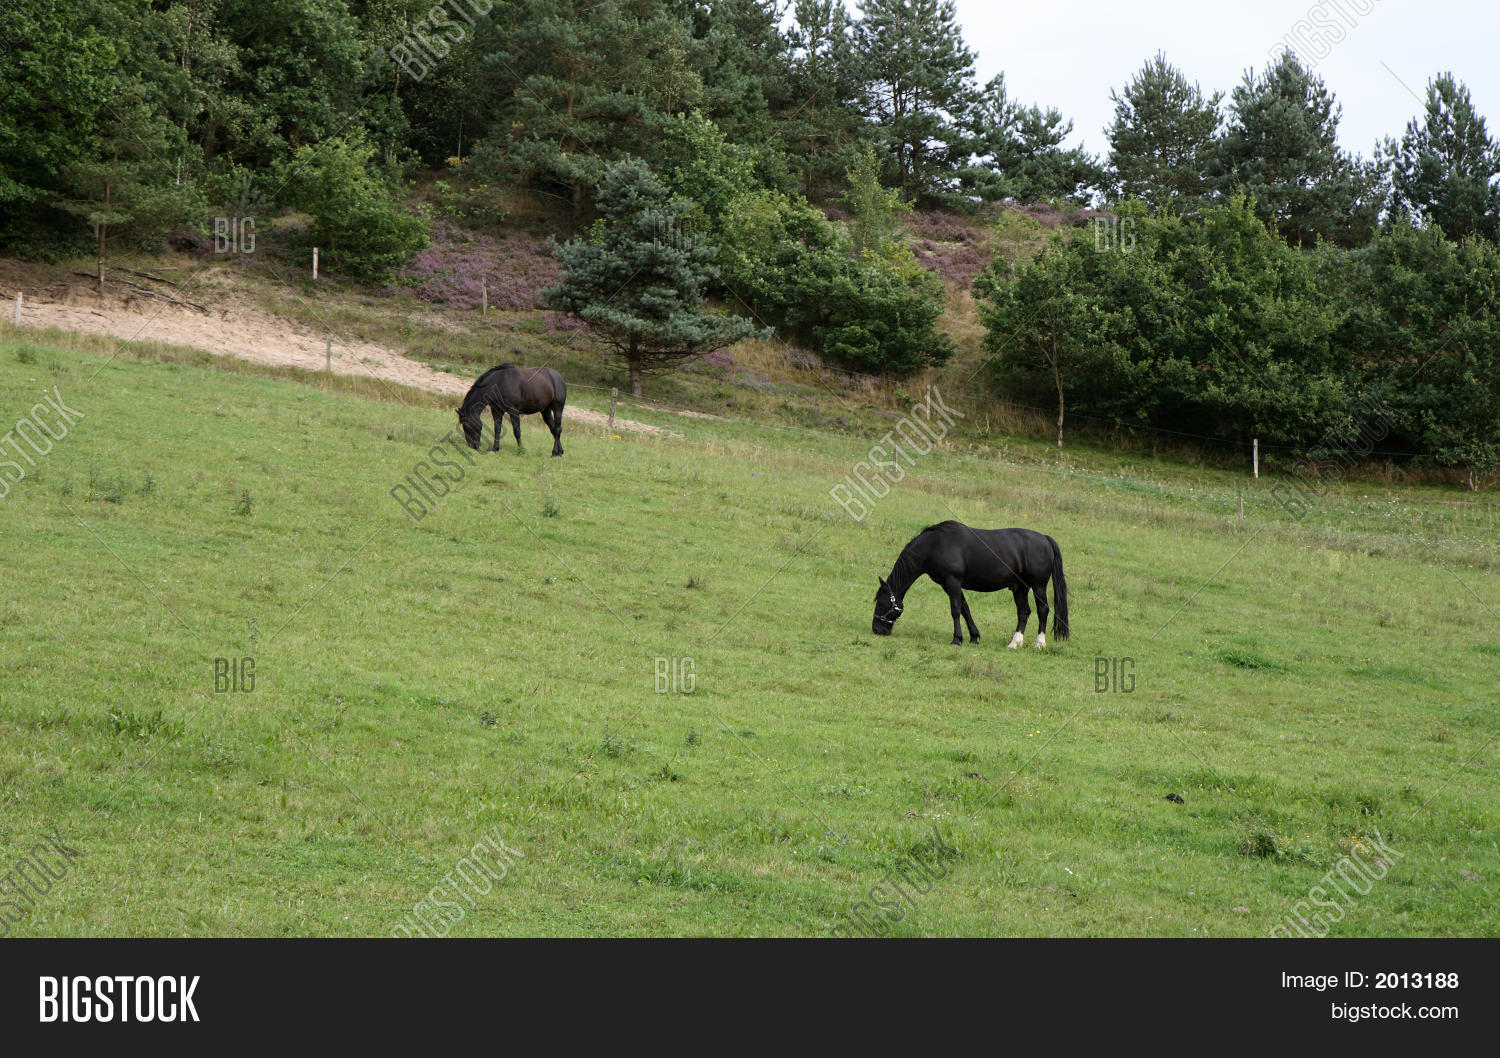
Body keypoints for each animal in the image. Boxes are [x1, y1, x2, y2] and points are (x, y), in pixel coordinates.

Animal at [872, 521, 1068, 648]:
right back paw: (1014, 643)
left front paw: (956, 639)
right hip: (1020, 587)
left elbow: (955, 610)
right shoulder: (949, 584)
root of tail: (1045, 539)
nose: (877, 629)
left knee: (1042, 610)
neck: (936, 544)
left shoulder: (953, 581)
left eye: (881, 603)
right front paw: (974, 637)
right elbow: (965, 608)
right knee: (1024, 612)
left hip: (1038, 586)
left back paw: (1039, 643)